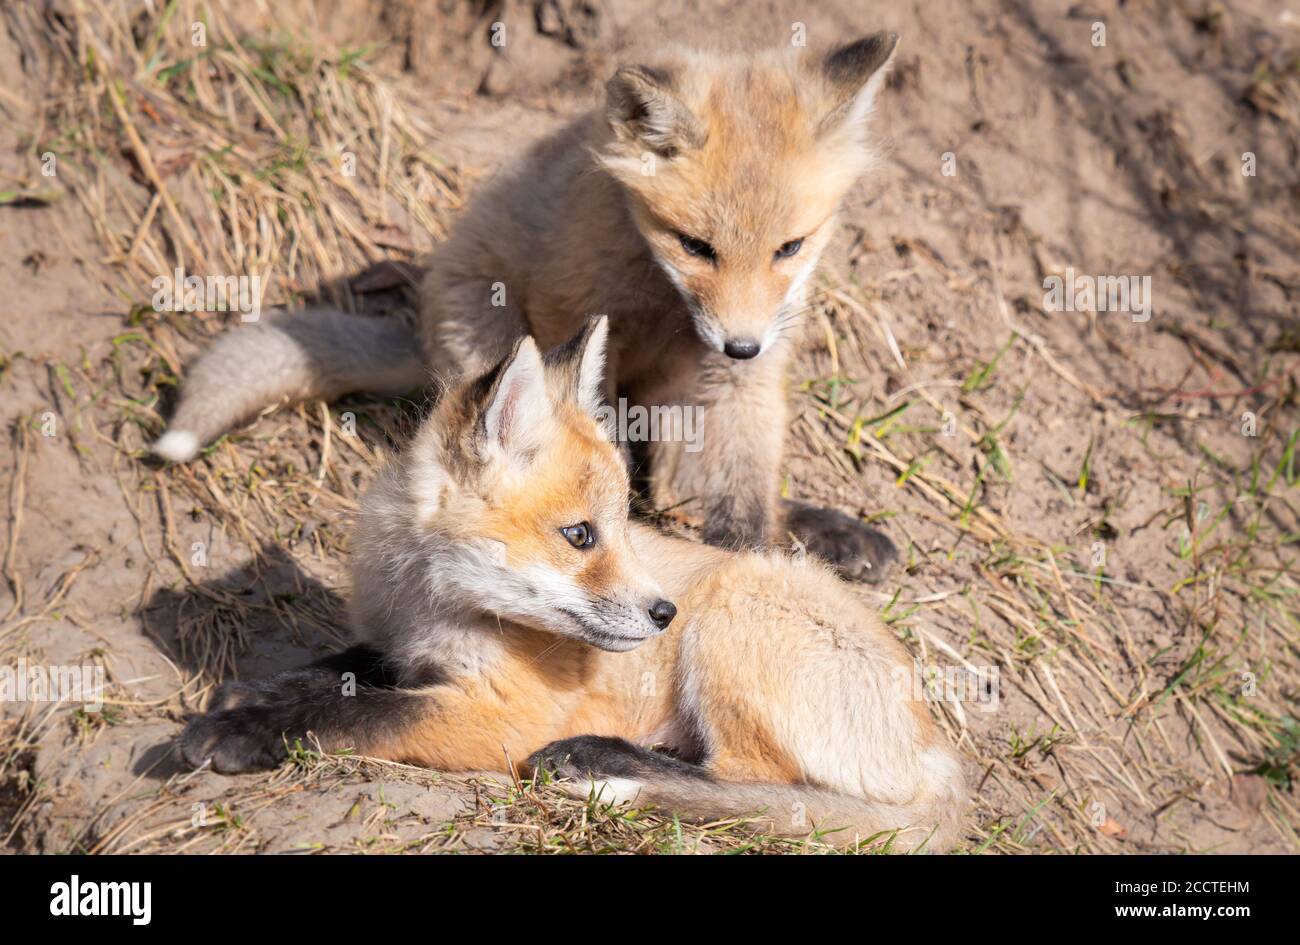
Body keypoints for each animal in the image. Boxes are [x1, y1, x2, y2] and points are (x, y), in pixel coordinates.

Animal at [151, 32, 904, 582]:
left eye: (790, 247)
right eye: (696, 245)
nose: (741, 346)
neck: (663, 298)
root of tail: (422, 332)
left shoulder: (736, 370)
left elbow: (738, 496)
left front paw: (755, 562)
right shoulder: (575, 318)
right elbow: (601, 464)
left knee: (683, 488)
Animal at [179, 317, 967, 851]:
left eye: (621, 526)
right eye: (581, 535)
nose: (663, 612)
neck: (436, 606)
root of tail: (945, 763)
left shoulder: (502, 715)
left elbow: (366, 714)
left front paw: (243, 732)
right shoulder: (400, 645)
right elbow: (338, 673)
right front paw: (261, 694)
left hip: (731, 620)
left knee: (748, 784)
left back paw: (603, 760)